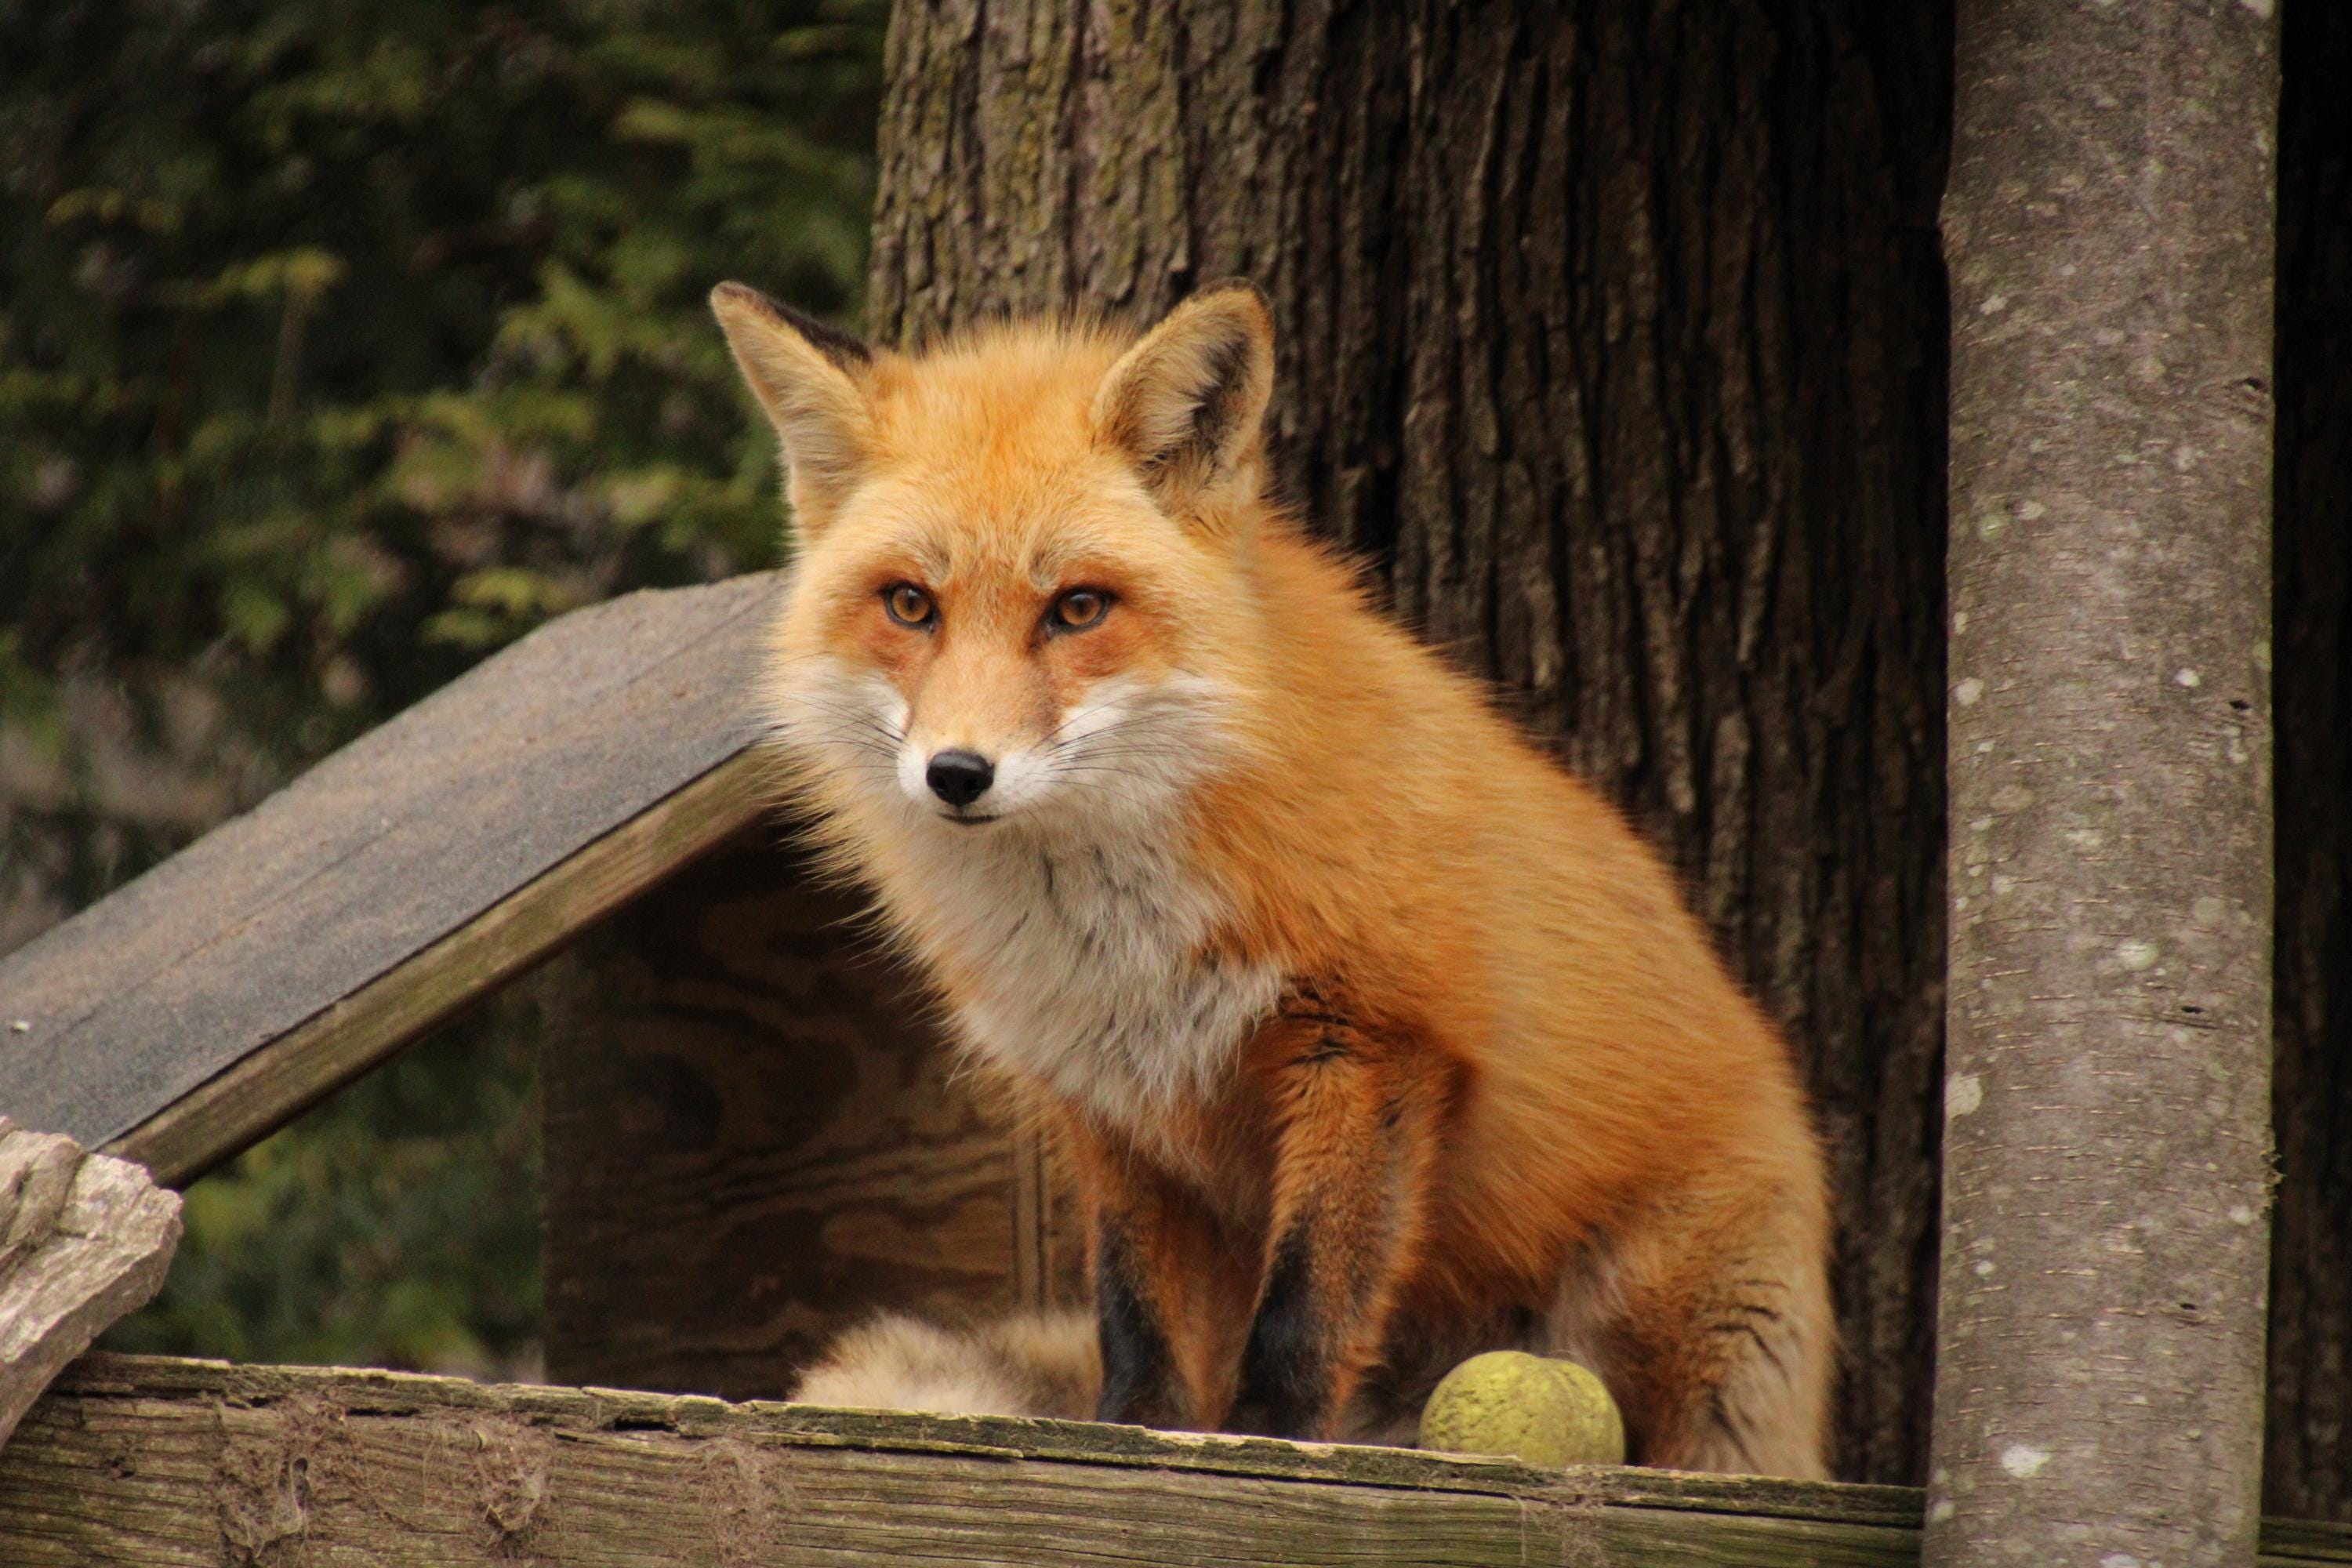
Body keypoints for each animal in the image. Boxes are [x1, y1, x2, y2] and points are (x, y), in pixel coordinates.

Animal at [710, 278, 1835, 1478]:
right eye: (911, 604)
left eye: (1078, 608)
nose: (957, 774)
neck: (1112, 937)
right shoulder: (1113, 1103)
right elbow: (1136, 1314)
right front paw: (1131, 1435)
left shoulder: (1375, 1039)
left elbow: (1310, 1297)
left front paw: (1276, 1440)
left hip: (1673, 1339)